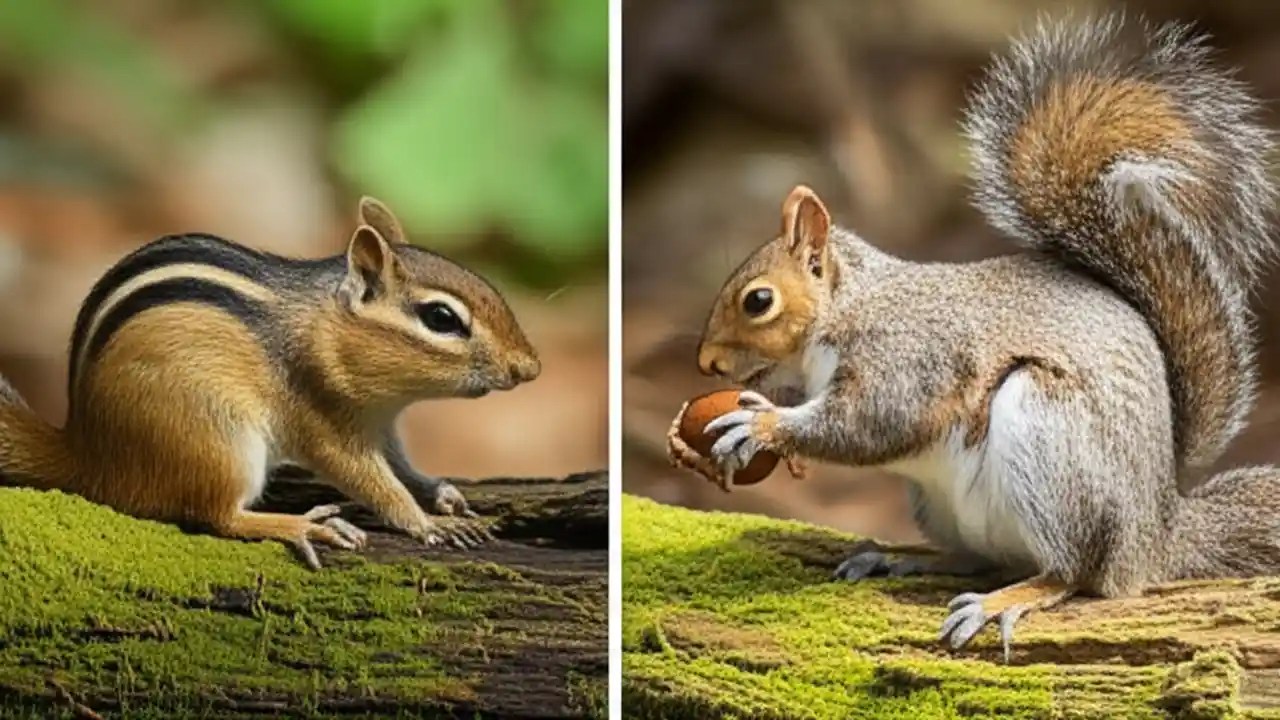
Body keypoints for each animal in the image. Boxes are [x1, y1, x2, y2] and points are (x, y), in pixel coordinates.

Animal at [0, 197, 540, 569]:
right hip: (218, 439)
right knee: (219, 516)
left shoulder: (382, 425)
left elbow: (402, 467)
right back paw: (301, 525)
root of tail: (87, 453)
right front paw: (428, 523)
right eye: (441, 318)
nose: (529, 369)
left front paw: (443, 495)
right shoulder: (323, 416)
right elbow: (373, 481)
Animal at [695, 13, 1279, 659]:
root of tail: (1153, 536)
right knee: (983, 557)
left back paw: (1006, 600)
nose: (706, 363)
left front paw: (762, 424)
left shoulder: (907, 355)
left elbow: (871, 422)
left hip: (1052, 444)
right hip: (942, 502)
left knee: (1073, 574)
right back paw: (906, 558)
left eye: (759, 301)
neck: (848, 308)